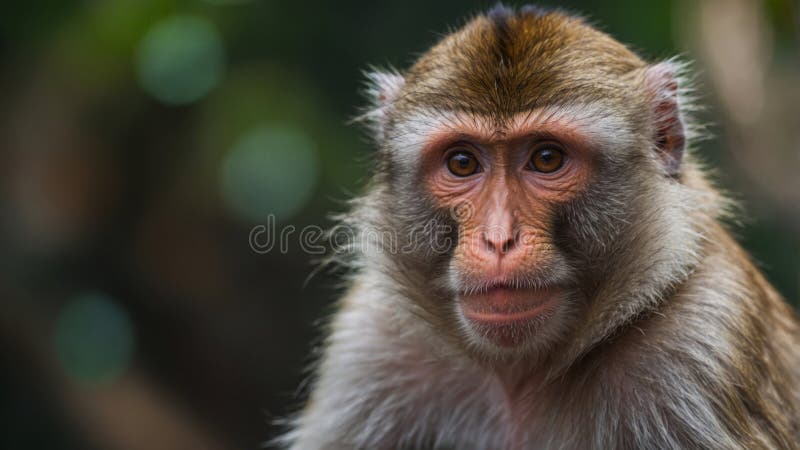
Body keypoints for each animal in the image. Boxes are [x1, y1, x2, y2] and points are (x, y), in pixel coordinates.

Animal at [276, 5, 800, 449]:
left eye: (547, 158)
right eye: (462, 163)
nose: (498, 239)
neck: (518, 379)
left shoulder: (699, 347)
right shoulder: (368, 346)